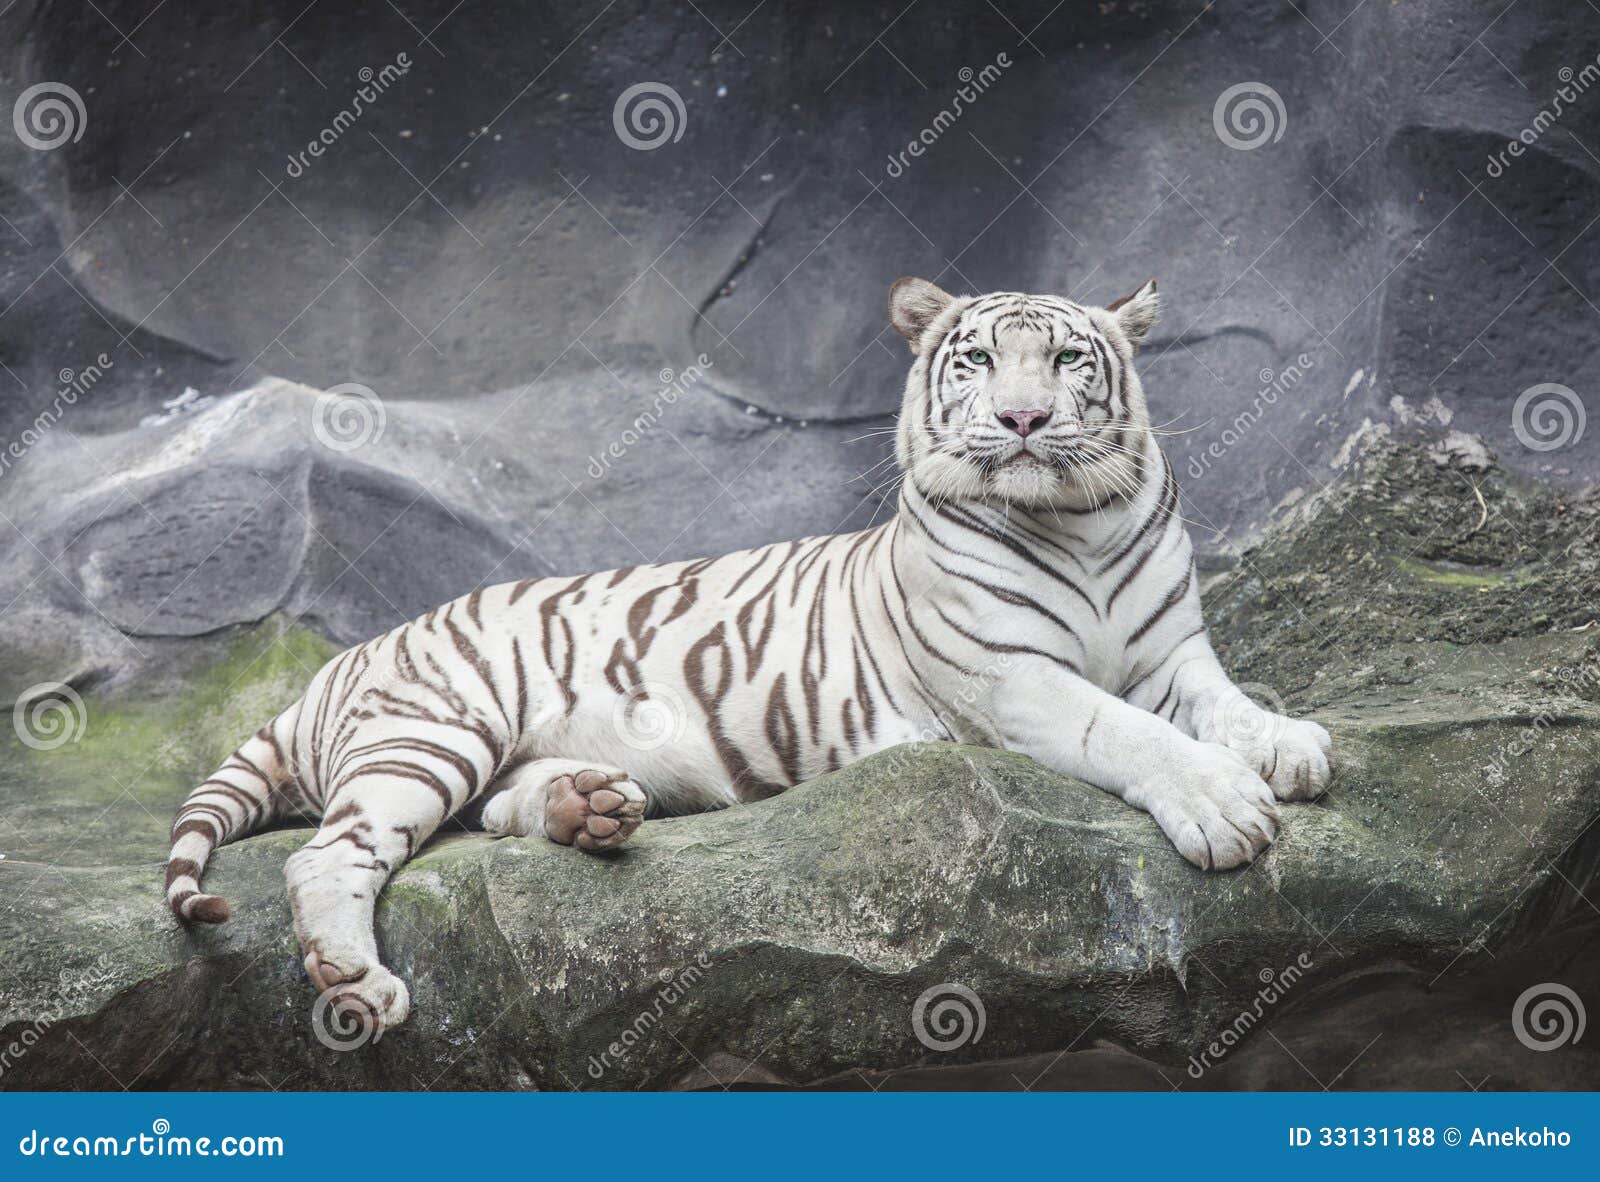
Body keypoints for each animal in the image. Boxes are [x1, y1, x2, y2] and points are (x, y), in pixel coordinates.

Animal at [165, 277, 1332, 1034]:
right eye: (979, 362)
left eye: (1067, 360)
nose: (1023, 418)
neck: (1078, 522)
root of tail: (334, 667)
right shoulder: (1011, 679)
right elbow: (1125, 731)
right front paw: (1226, 810)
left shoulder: (1174, 654)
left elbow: (1224, 703)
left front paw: (1290, 748)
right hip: (434, 728)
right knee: (329, 855)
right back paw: (355, 983)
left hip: (482, 755)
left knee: (495, 812)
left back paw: (591, 809)